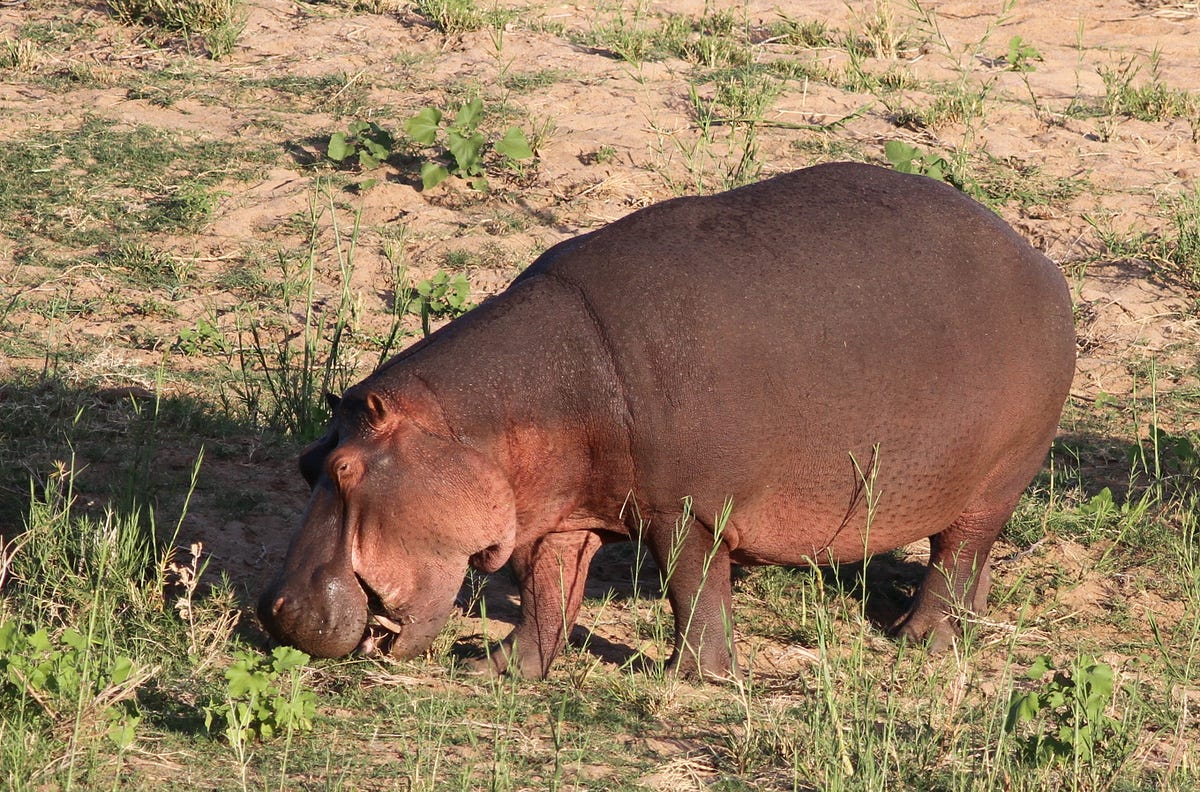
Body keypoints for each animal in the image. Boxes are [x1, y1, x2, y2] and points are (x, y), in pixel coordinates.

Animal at [259, 162, 1075, 679]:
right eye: (307, 461)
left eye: (345, 469)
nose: (277, 609)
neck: (484, 421)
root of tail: (1037, 259)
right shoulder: (563, 517)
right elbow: (548, 595)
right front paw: (497, 669)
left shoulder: (684, 510)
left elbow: (693, 590)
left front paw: (694, 678)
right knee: (968, 559)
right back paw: (964, 627)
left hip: (997, 476)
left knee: (956, 554)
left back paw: (917, 642)